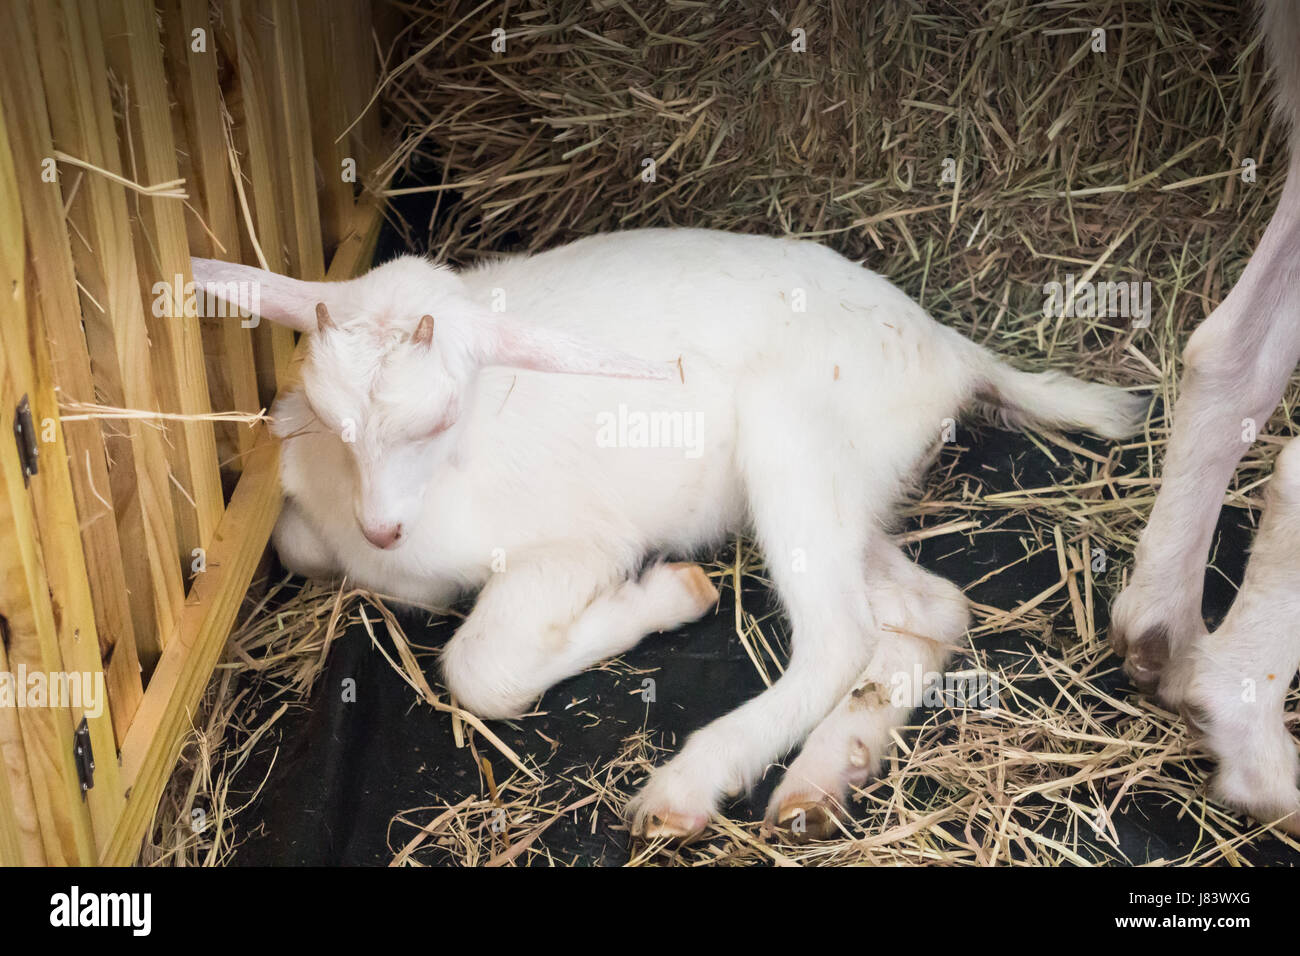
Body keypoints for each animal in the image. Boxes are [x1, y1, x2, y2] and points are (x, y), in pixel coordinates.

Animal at [194, 226, 1144, 839]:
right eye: (330, 417)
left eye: (440, 417)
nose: (383, 529)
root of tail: (951, 350)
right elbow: (297, 545)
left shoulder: (575, 547)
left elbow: (480, 671)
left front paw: (669, 595)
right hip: (849, 486)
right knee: (929, 609)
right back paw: (823, 782)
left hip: (790, 444)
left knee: (840, 635)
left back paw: (692, 783)